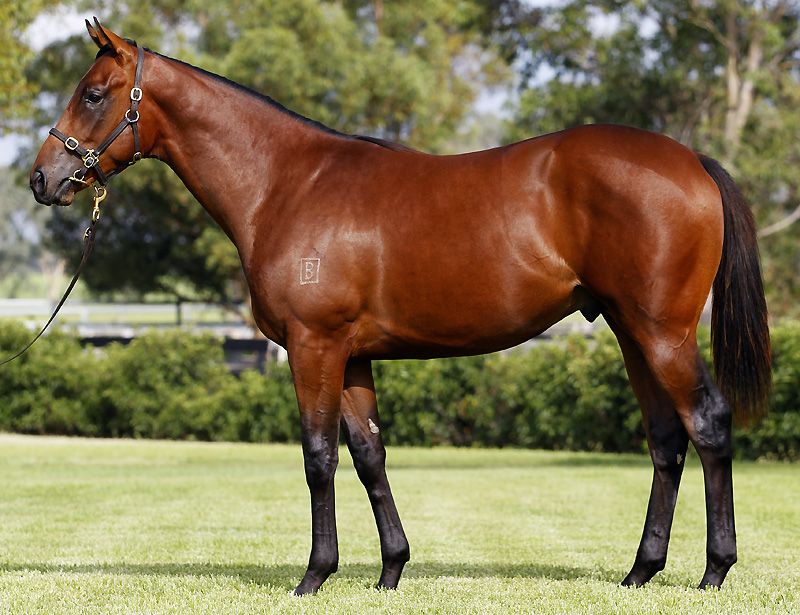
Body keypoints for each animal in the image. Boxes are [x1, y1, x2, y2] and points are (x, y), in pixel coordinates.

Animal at [30, 20, 770, 596]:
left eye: (92, 94)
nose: (42, 178)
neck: (287, 184)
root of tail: (693, 162)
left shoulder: (314, 345)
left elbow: (318, 456)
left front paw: (314, 576)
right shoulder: (352, 356)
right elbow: (369, 455)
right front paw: (390, 569)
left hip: (662, 331)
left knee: (708, 424)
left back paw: (714, 570)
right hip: (629, 331)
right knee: (667, 438)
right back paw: (640, 572)